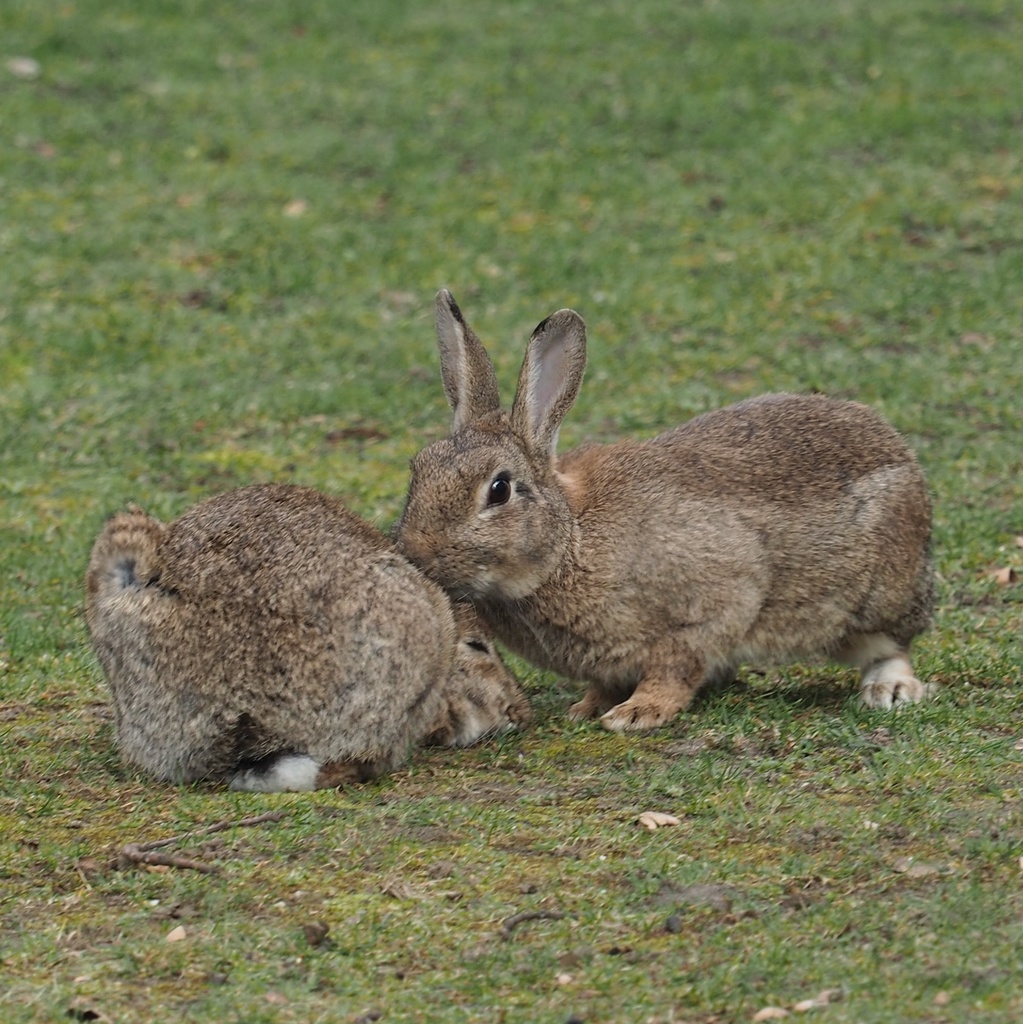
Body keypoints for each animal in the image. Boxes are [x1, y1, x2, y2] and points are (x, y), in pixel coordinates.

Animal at [395, 290, 935, 733]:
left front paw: (638, 713)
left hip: (876, 596)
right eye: (417, 469)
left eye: (499, 490)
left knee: (892, 645)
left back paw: (888, 690)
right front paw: (586, 708)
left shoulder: (713, 603)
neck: (569, 542)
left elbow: (678, 665)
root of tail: (903, 457)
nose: (416, 553)